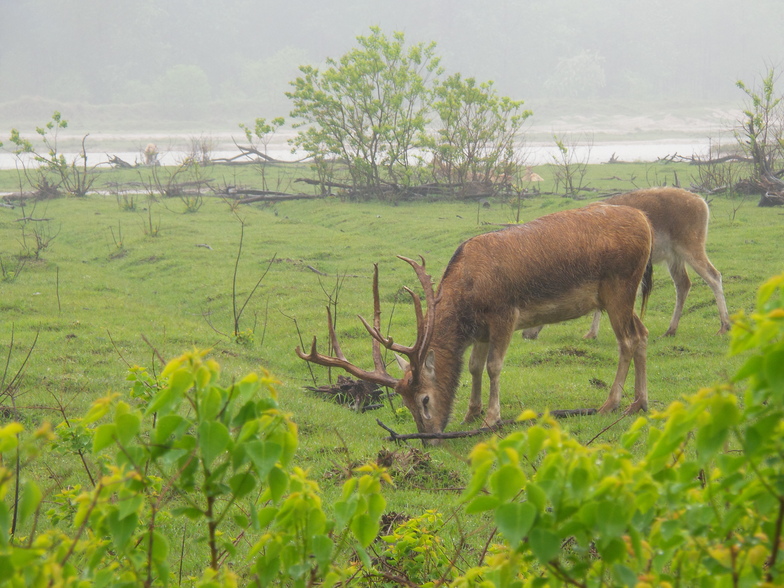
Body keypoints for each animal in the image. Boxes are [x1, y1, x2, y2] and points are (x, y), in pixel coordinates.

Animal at [298, 206, 652, 440]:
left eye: (424, 399)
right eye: (404, 402)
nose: (428, 437)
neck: (467, 297)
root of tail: (645, 221)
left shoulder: (505, 313)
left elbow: (494, 366)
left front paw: (491, 419)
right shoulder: (480, 329)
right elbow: (473, 367)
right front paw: (471, 413)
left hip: (620, 284)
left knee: (628, 340)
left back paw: (611, 404)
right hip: (619, 294)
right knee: (643, 333)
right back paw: (640, 403)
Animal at [524, 188, 732, 340]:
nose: (526, 334)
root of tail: (700, 201)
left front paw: (591, 334)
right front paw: (592, 333)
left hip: (691, 248)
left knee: (714, 276)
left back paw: (724, 326)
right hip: (674, 258)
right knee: (683, 284)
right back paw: (670, 330)